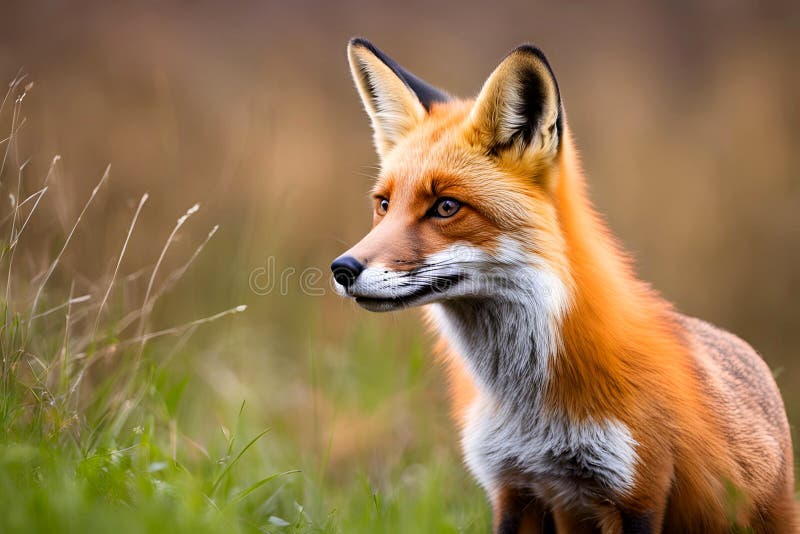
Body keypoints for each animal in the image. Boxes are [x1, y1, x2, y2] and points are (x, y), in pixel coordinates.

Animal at [330, 38, 795, 533]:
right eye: (384, 204)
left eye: (446, 207)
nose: (343, 269)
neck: (529, 413)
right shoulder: (513, 487)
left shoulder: (637, 495)